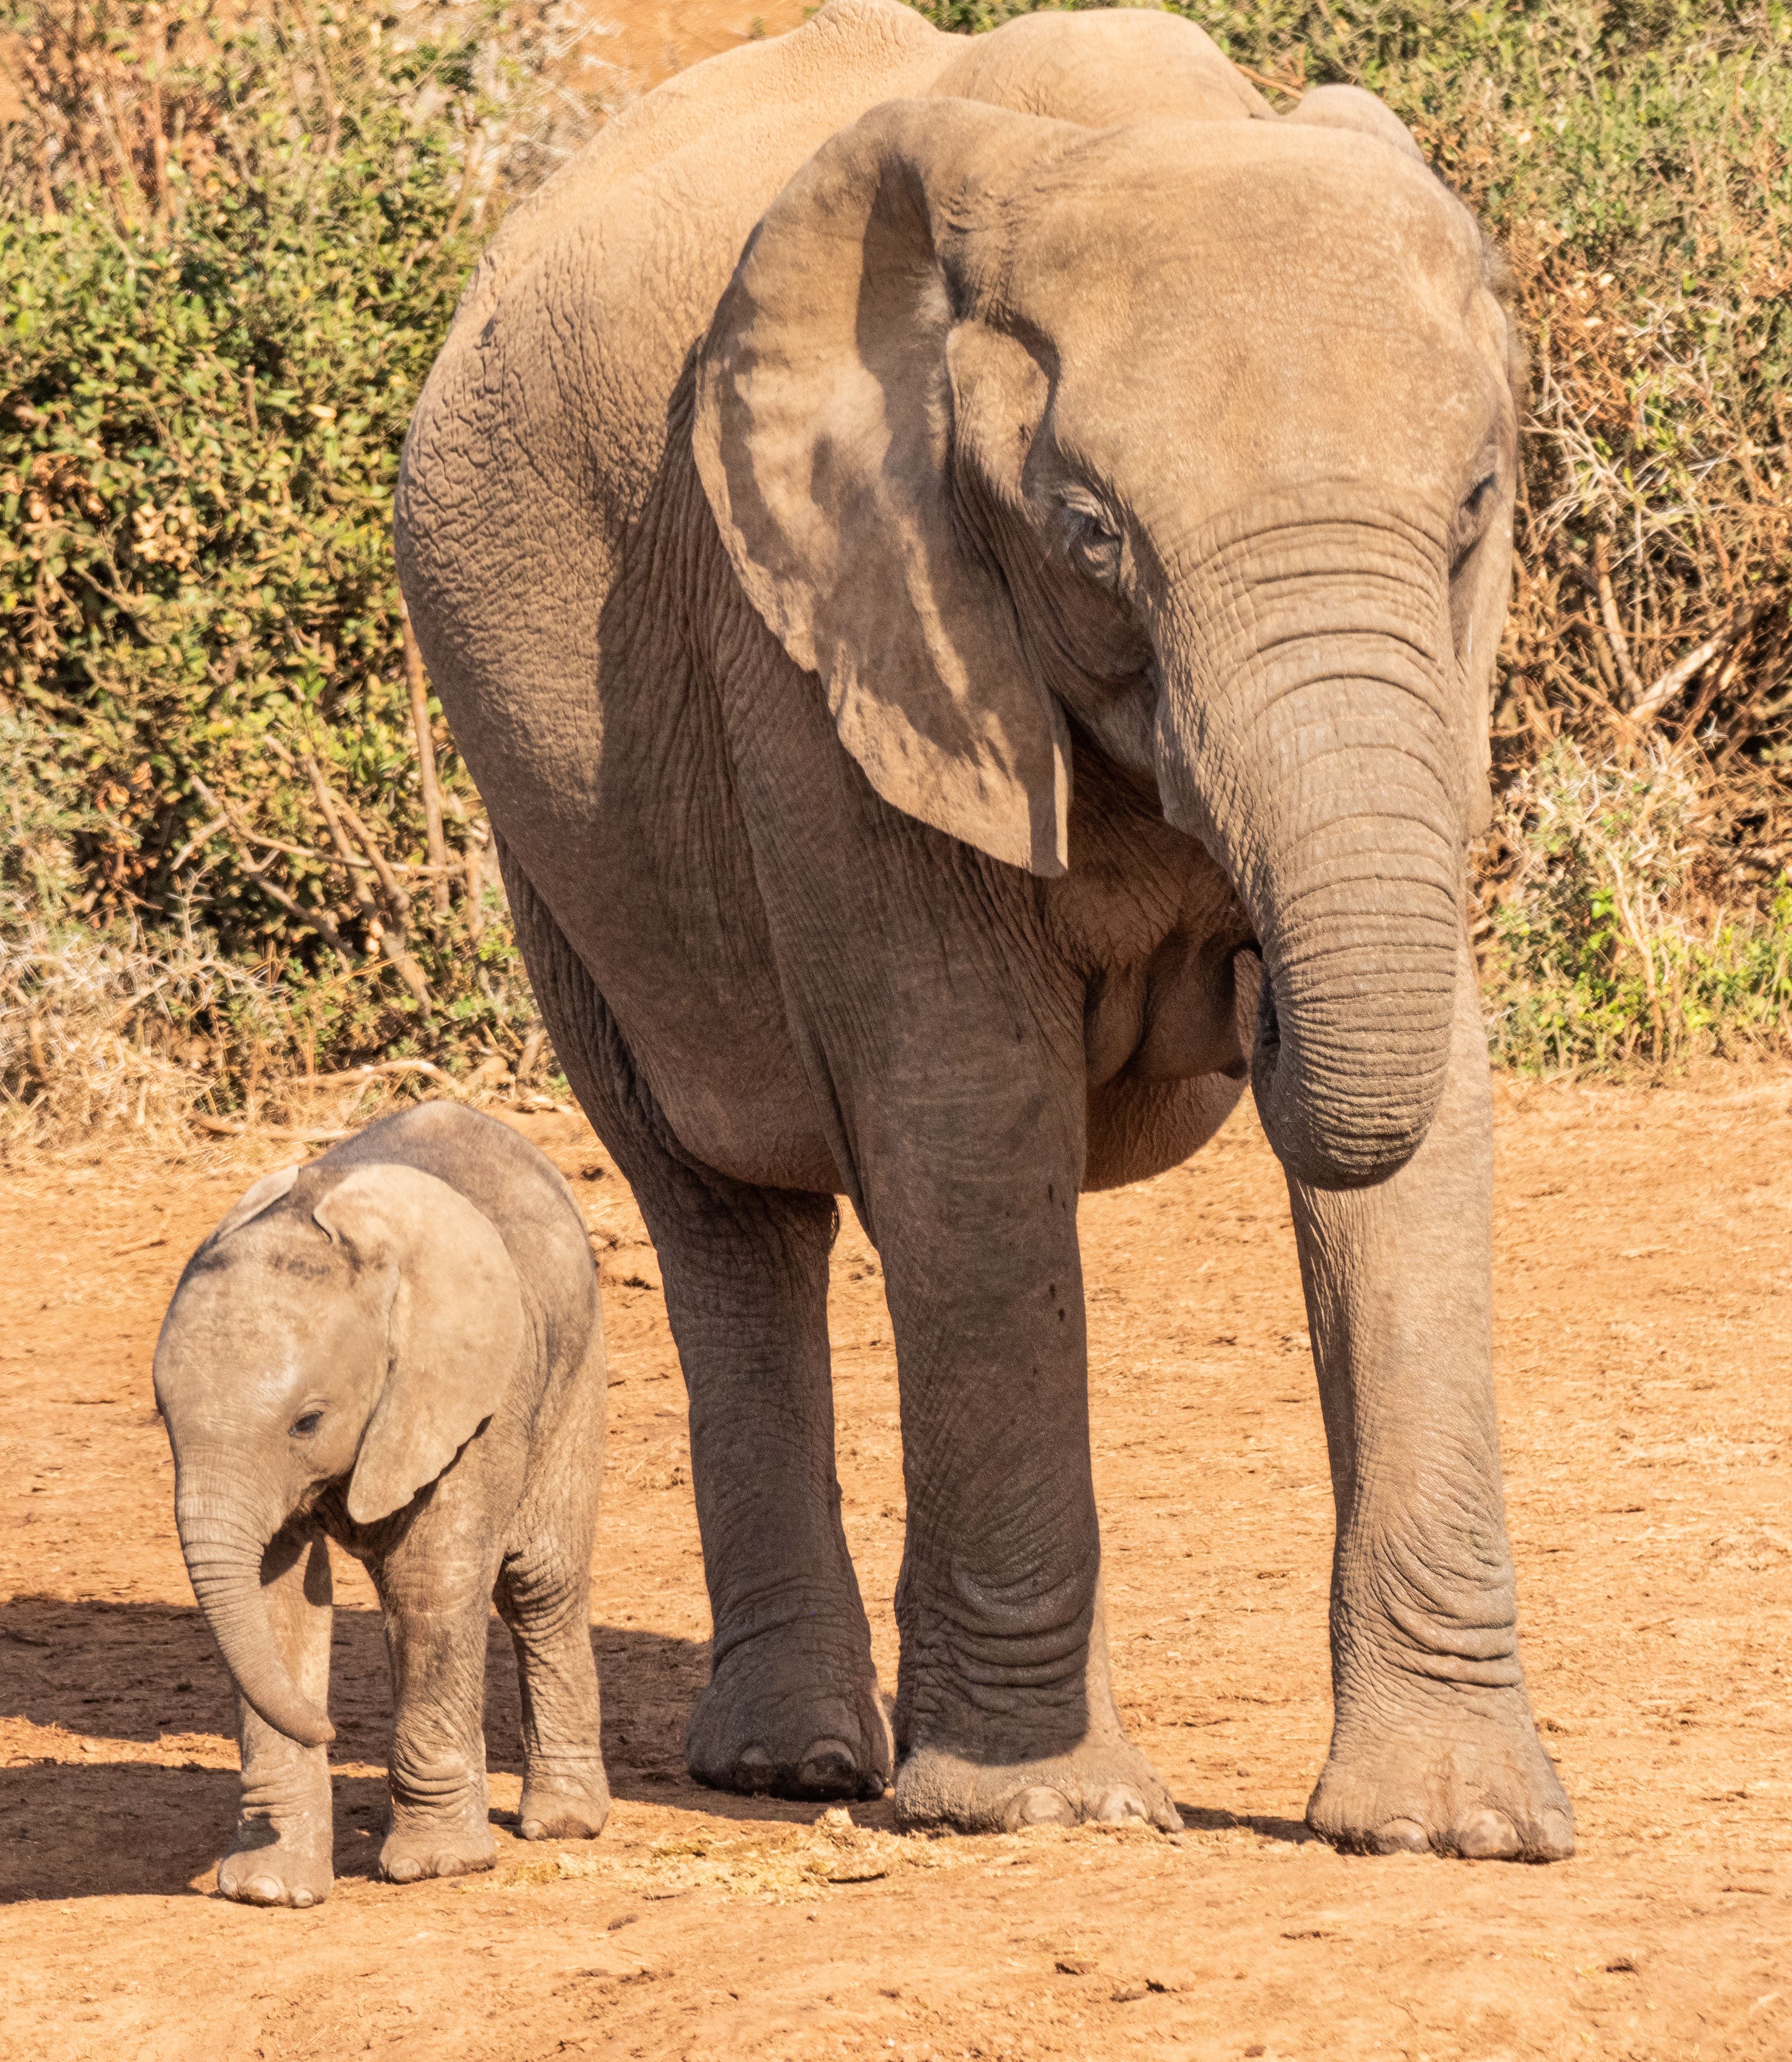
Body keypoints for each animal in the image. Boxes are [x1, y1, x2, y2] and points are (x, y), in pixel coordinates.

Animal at [153, 1104, 610, 1906]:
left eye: (307, 1422)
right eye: (161, 1415)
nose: (330, 1731)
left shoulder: (467, 1396)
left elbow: (430, 1582)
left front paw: (437, 1867)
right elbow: (275, 1601)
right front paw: (269, 1889)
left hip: (574, 1360)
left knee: (538, 1582)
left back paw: (562, 1825)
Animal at [395, 0, 1574, 1860]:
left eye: (1470, 506)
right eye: (1089, 535)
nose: (1243, 993)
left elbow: (1429, 1129)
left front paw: (1451, 1832)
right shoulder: (821, 634)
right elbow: (970, 1122)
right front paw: (1043, 1813)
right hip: (556, 826)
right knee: (720, 1206)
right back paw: (799, 1769)